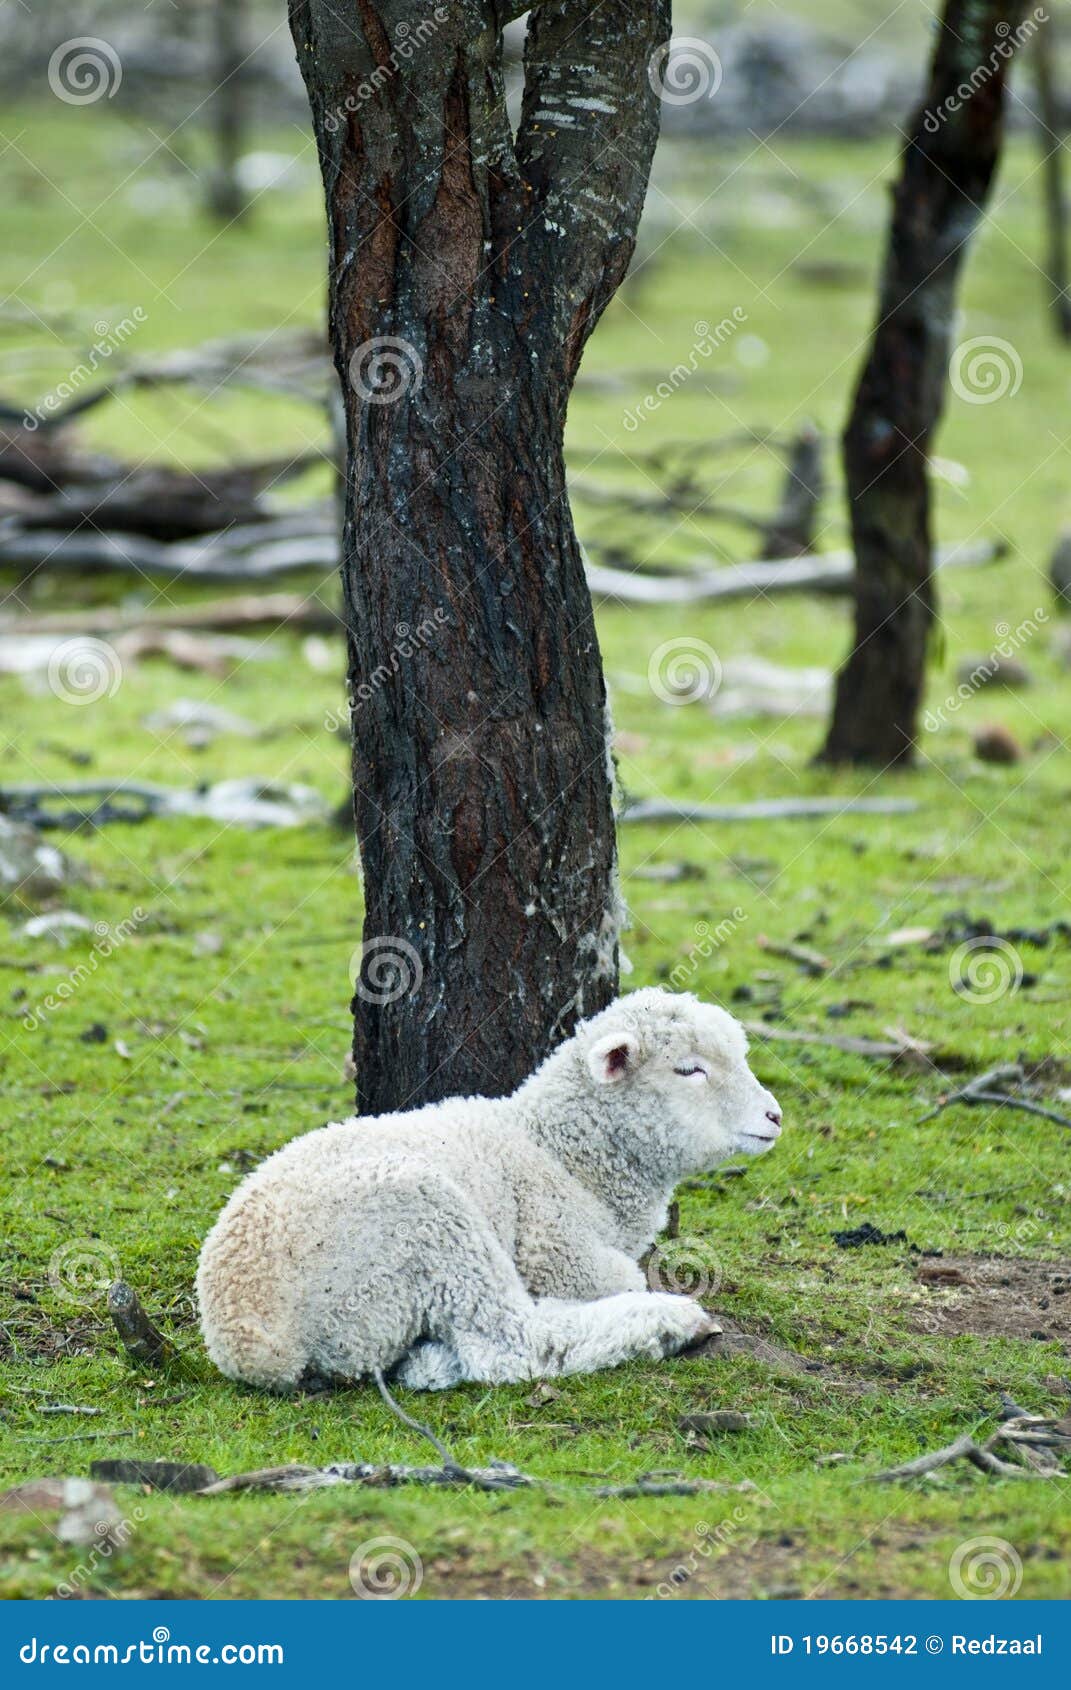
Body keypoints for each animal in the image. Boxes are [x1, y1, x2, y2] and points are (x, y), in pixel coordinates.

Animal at [196, 987, 783, 1392]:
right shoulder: (557, 1249)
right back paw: (672, 1322)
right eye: (689, 1070)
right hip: (428, 1223)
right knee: (515, 1341)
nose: (774, 1116)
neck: (561, 1153)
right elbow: (617, 1278)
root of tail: (253, 1341)